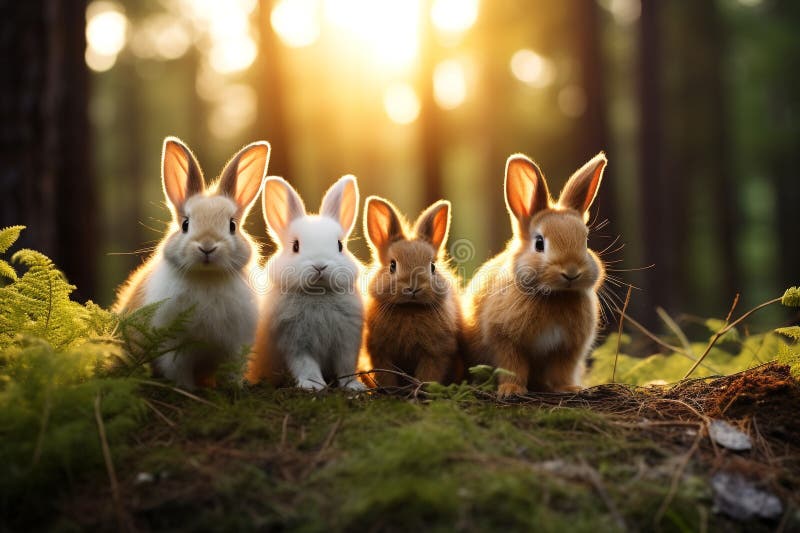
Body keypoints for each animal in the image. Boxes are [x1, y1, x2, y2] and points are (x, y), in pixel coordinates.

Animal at [114, 136, 270, 389]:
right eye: (185, 224)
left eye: (232, 225)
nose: (207, 246)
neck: (207, 277)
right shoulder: (175, 349)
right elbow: (179, 371)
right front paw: (186, 389)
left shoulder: (235, 346)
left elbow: (231, 372)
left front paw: (233, 388)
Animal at [247, 175, 366, 391]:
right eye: (295, 246)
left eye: (340, 245)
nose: (320, 266)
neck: (318, 293)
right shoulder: (295, 343)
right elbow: (306, 365)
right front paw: (313, 386)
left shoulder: (348, 341)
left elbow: (346, 366)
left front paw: (354, 386)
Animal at [360, 196, 464, 387]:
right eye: (392, 265)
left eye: (432, 266)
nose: (414, 287)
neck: (409, 309)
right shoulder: (380, 353)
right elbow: (386, 377)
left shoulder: (435, 353)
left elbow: (427, 375)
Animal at [464, 152, 607, 398]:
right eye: (539, 243)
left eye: (585, 241)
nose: (571, 272)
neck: (555, 296)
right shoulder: (505, 342)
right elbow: (512, 366)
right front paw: (511, 390)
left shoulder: (568, 349)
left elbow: (562, 371)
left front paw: (570, 389)